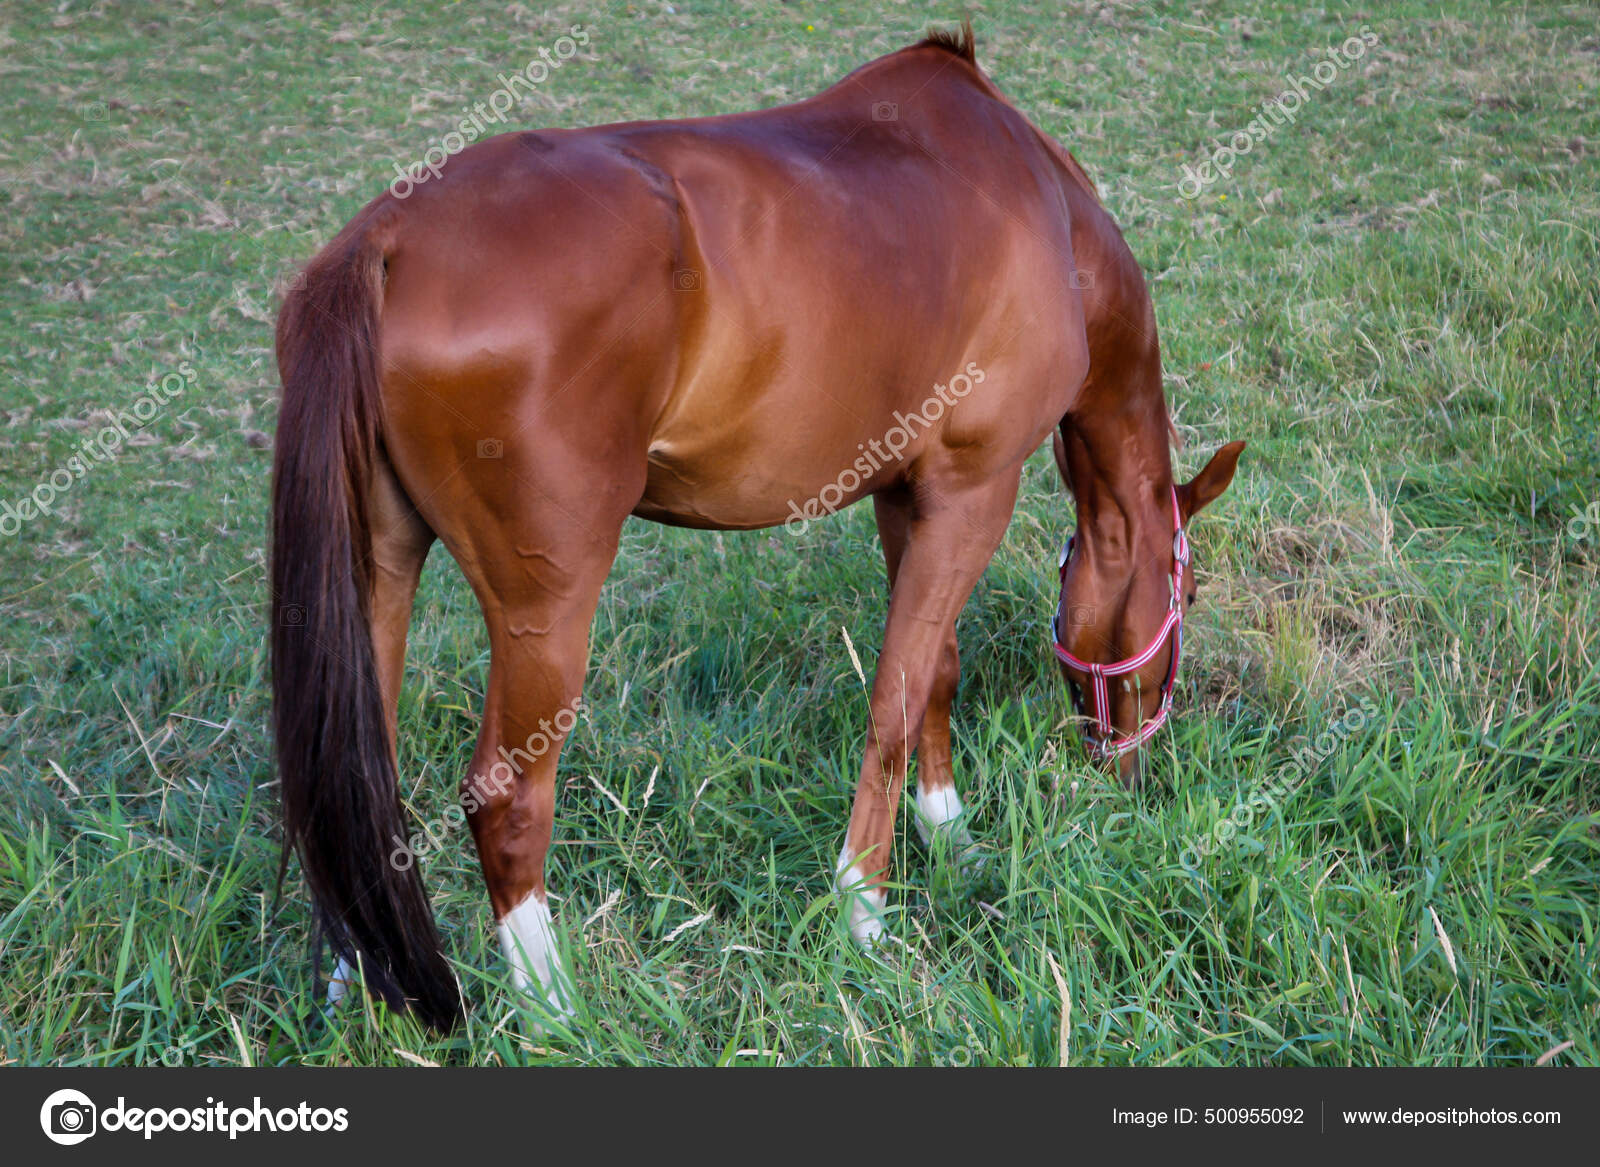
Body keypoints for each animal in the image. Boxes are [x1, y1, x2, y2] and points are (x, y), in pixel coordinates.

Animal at [271, 23, 1244, 1032]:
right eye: (1188, 590)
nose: (1132, 772)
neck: (1040, 205)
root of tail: (388, 239)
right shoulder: (976, 491)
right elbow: (895, 700)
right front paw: (865, 914)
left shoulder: (906, 494)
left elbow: (933, 671)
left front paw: (953, 839)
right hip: (547, 605)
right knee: (503, 797)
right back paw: (555, 1009)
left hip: (379, 569)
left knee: (351, 787)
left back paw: (359, 981)